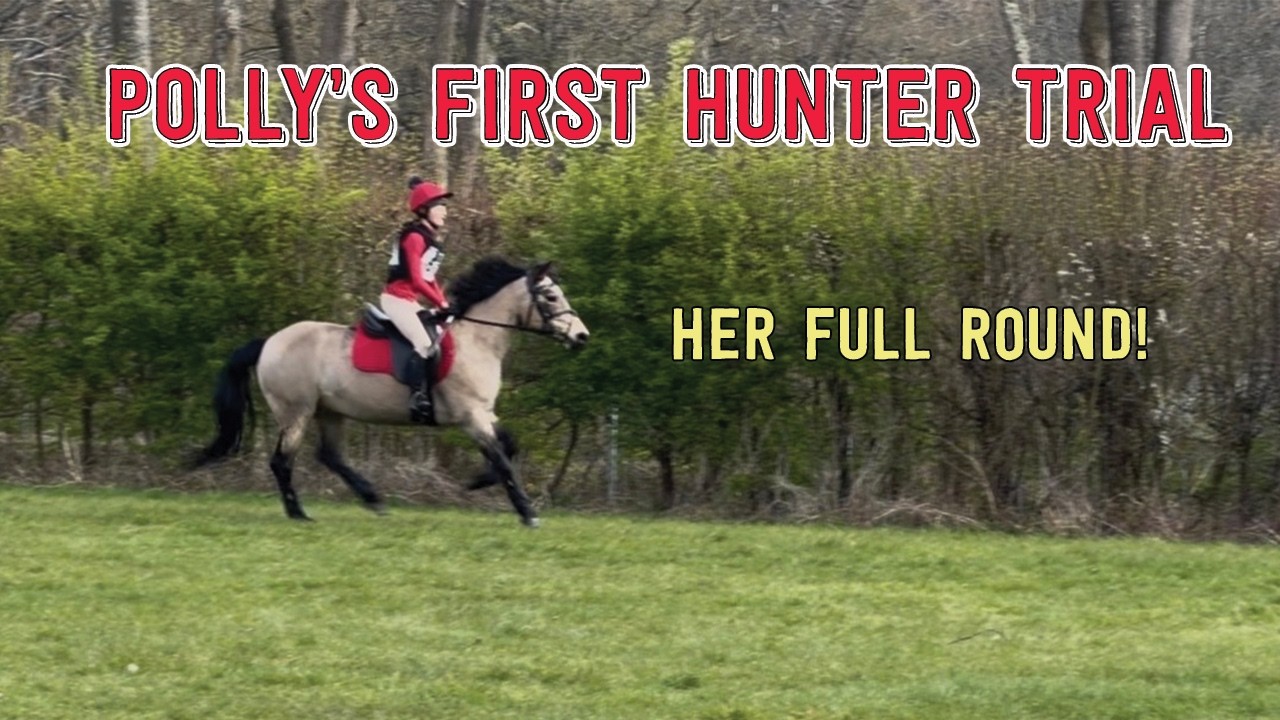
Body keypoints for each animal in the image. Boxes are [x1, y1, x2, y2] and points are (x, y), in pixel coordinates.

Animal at [192, 258, 589, 527]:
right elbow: (503, 458)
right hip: (296, 413)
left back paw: (373, 500)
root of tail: (269, 342)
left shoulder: (484, 413)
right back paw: (299, 513)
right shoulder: (471, 417)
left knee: (330, 455)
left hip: (330, 411)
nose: (581, 336)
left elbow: (510, 447)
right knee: (282, 461)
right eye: (550, 296)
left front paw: (479, 481)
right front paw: (527, 512)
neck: (478, 340)